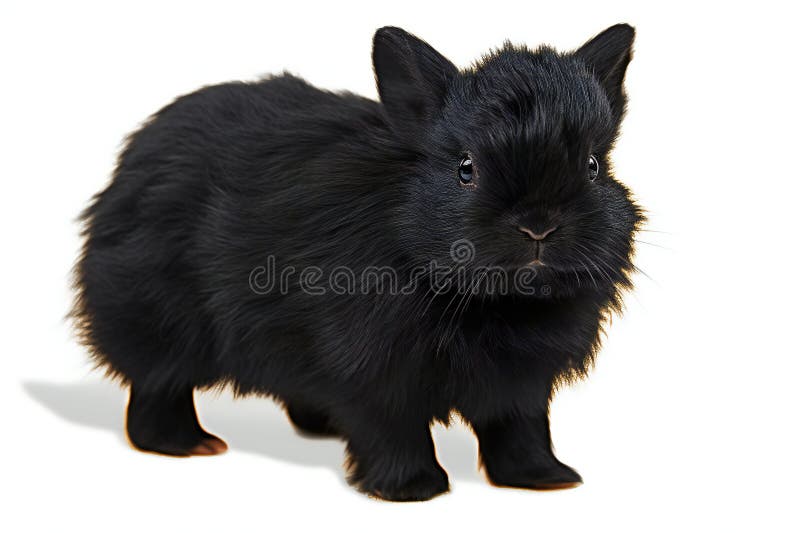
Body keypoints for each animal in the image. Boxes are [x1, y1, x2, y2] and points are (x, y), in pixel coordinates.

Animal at [72, 23, 642, 501]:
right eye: (466, 168)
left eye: (593, 165)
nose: (538, 226)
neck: (494, 302)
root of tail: (131, 162)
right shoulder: (376, 369)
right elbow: (394, 430)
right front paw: (413, 490)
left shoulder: (520, 383)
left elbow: (522, 429)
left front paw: (546, 480)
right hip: (159, 319)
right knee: (155, 388)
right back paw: (188, 444)